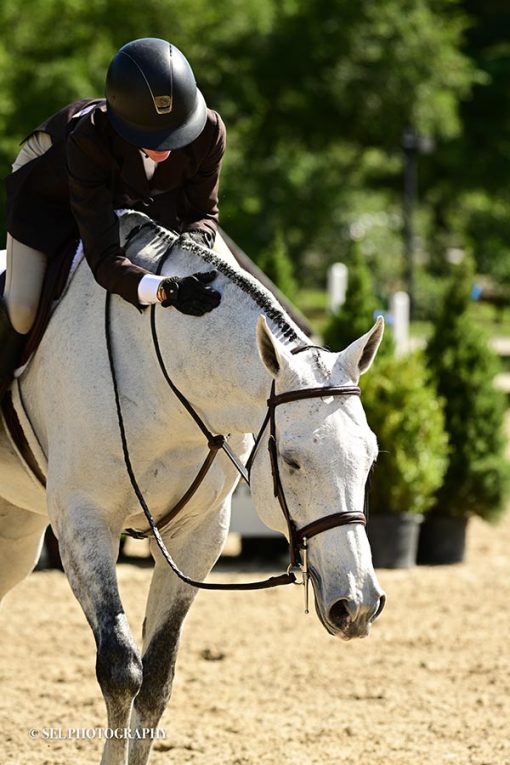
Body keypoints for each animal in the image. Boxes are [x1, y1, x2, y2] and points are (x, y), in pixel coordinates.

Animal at [0, 210, 386, 765]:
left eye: (371, 459)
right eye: (291, 461)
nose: (356, 606)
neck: (167, 372)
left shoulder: (196, 535)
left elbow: (158, 678)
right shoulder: (84, 524)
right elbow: (120, 670)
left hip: (17, 531)